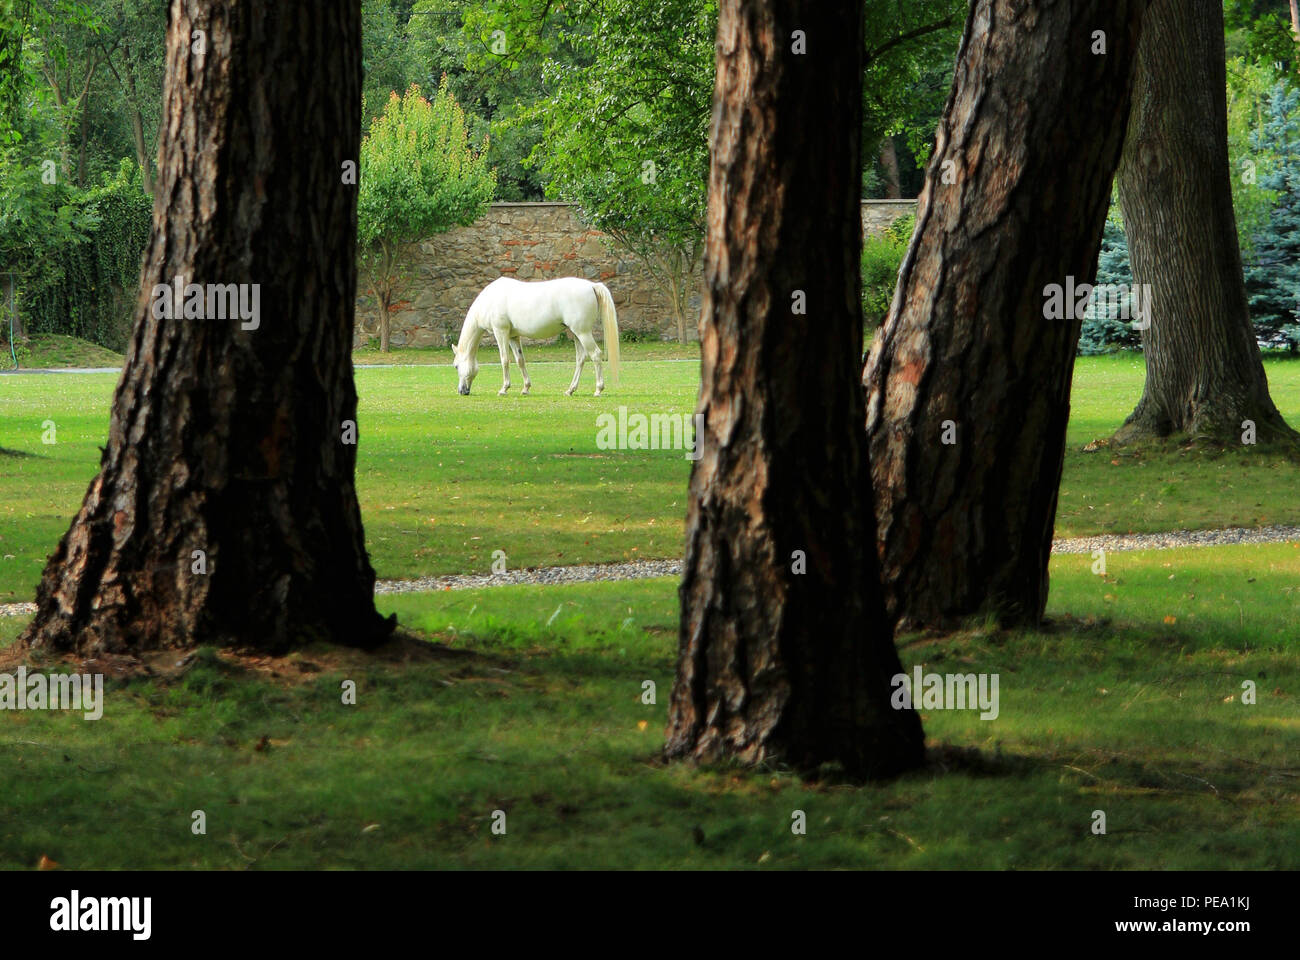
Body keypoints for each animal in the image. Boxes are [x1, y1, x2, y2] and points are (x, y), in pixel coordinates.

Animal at [451, 276, 621, 397]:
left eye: (456, 366)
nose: (462, 391)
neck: (489, 300)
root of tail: (592, 286)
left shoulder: (501, 332)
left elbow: (505, 360)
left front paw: (504, 389)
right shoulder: (513, 337)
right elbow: (520, 360)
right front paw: (526, 388)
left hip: (582, 333)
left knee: (596, 355)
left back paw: (598, 390)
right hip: (576, 334)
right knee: (581, 359)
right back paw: (570, 390)